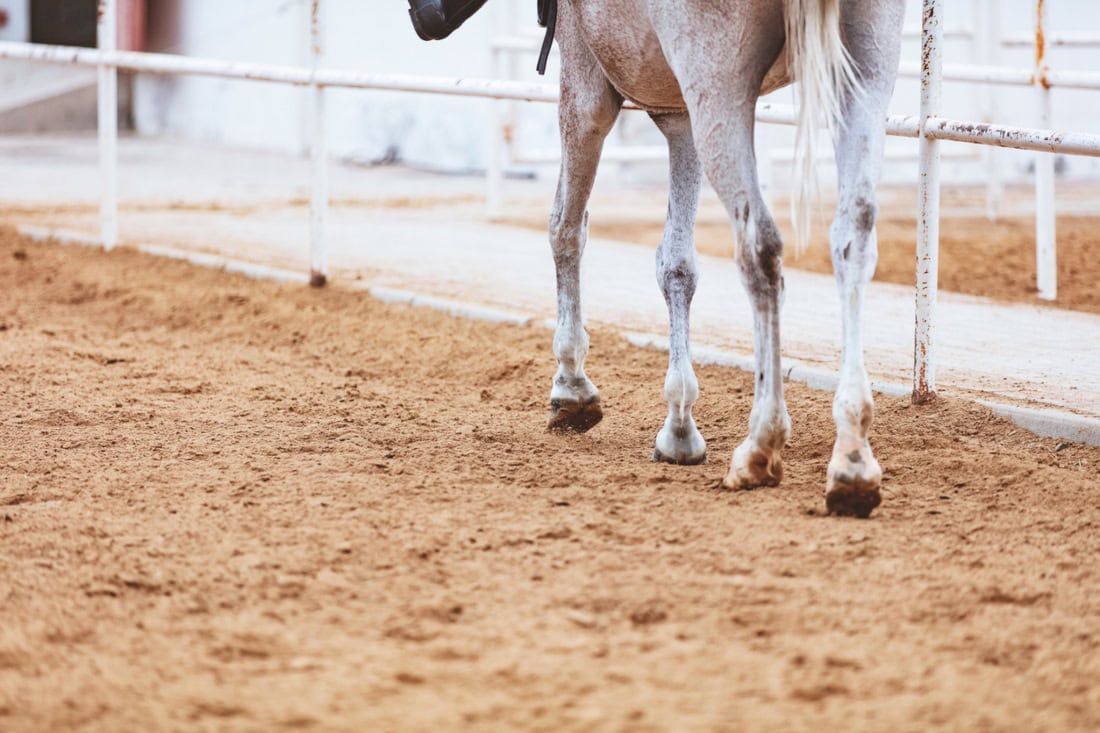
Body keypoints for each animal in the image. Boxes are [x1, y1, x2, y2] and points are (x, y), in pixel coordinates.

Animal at [544, 0, 906, 517]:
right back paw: (853, 458)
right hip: (866, 67)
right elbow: (676, 263)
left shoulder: (586, 78)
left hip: (719, 86)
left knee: (760, 248)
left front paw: (572, 387)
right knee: (853, 234)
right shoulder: (679, 111)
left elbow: (567, 227)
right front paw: (679, 425)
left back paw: (761, 445)